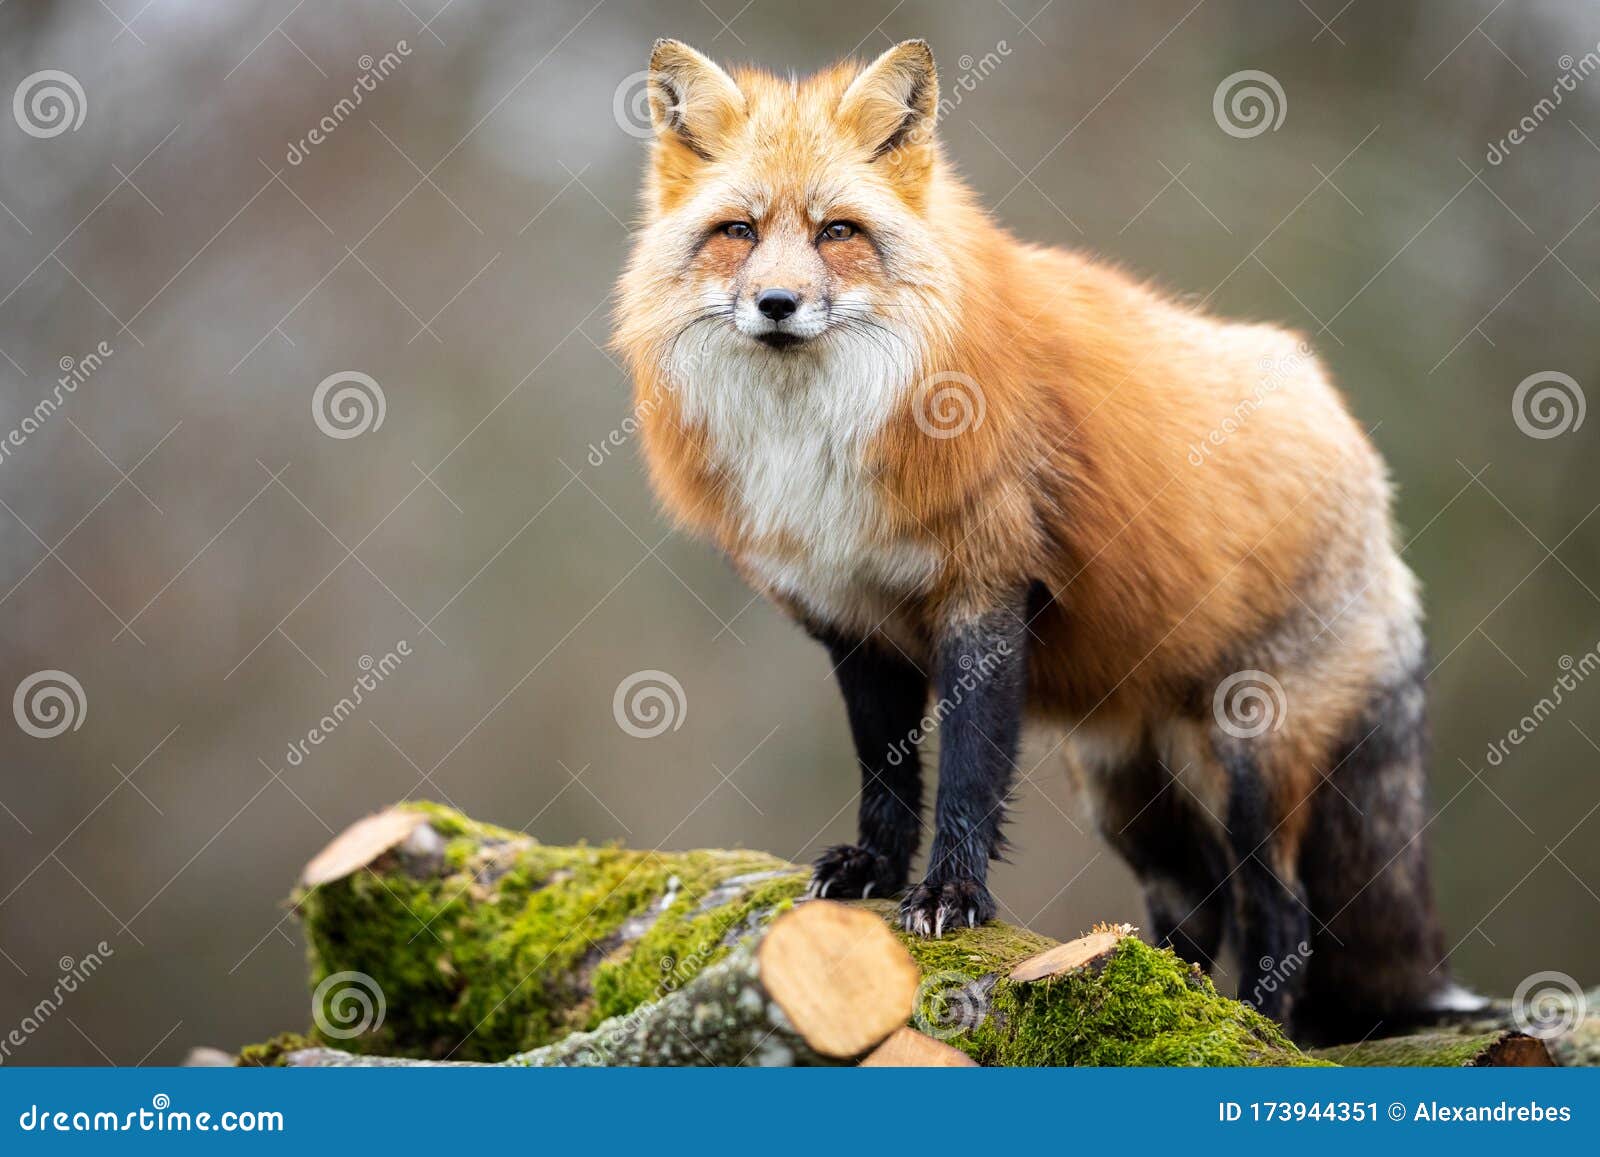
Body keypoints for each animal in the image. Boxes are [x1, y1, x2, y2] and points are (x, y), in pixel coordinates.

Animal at [613, 37, 1479, 1041]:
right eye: (738, 231)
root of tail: (1360, 451)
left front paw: (951, 896)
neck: (821, 434)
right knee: (1197, 906)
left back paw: (1255, 1027)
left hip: (1252, 756)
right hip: (1126, 792)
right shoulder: (854, 619)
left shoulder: (986, 591)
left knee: (1280, 910)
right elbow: (886, 775)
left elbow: (969, 776)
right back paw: (1165, 996)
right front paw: (877, 872)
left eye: (837, 232)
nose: (779, 302)